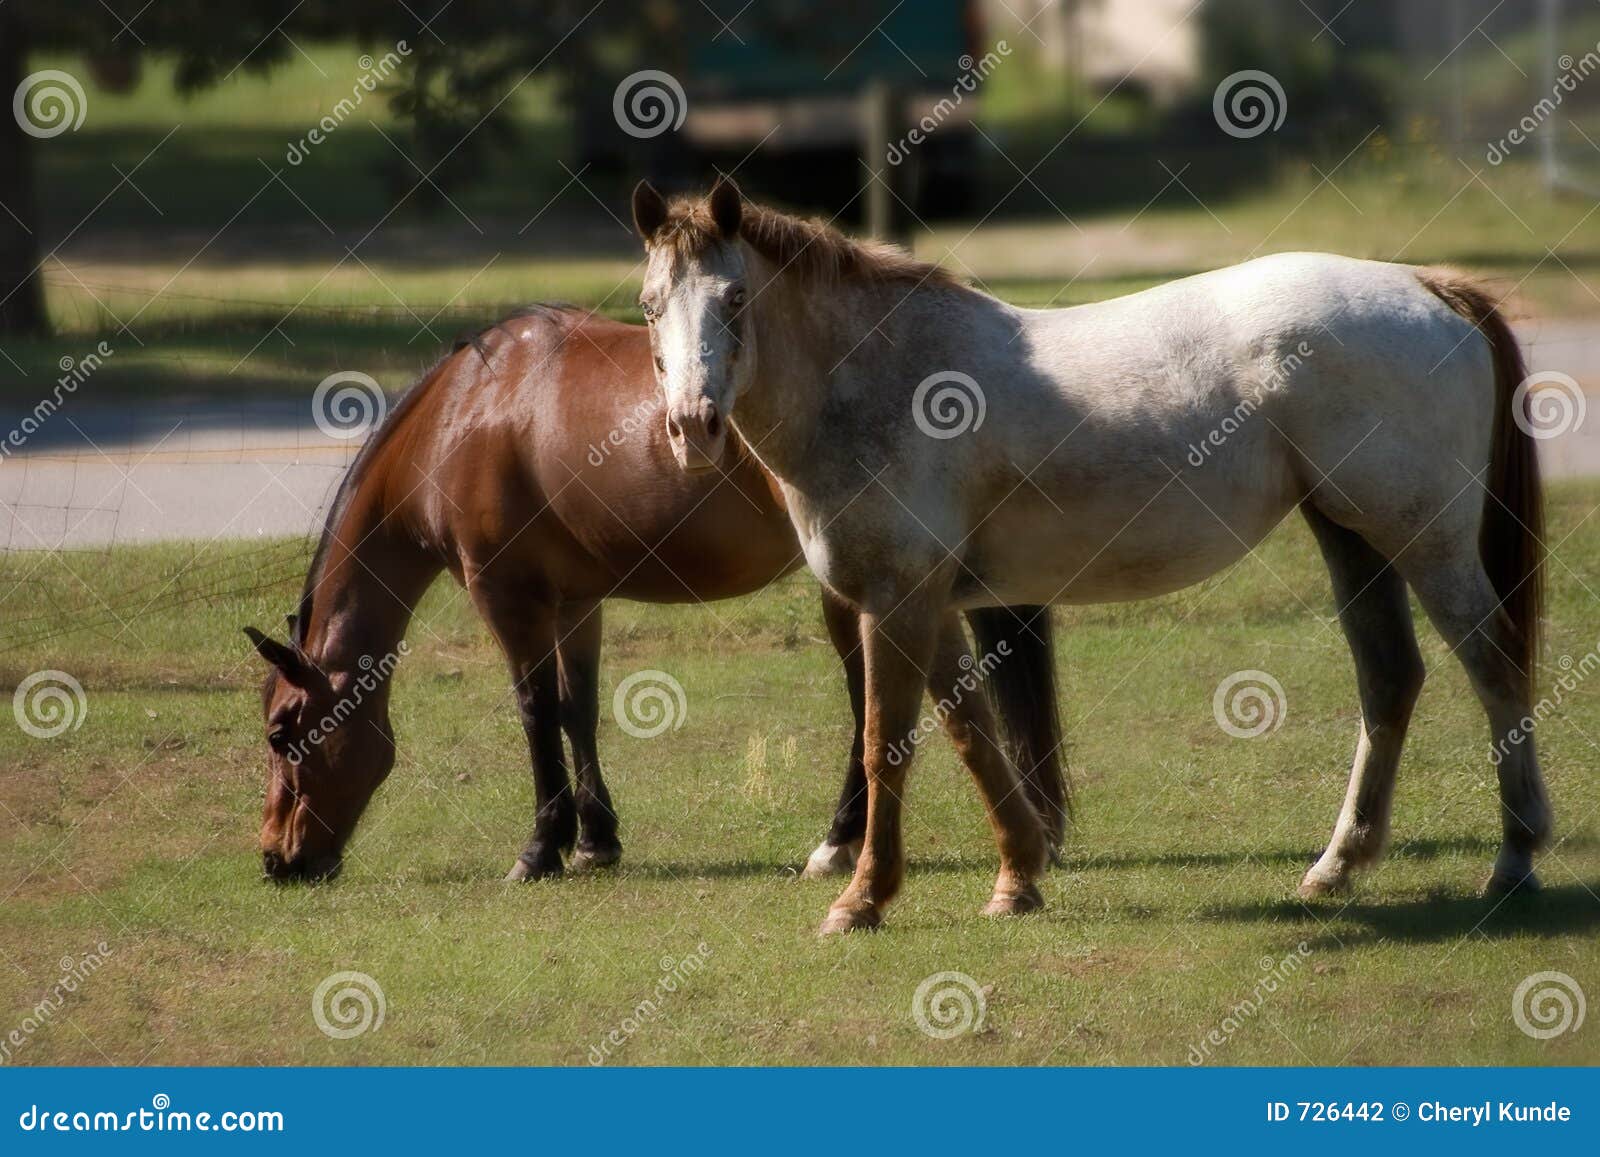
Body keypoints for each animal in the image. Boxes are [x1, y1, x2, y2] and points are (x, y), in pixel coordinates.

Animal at [244, 303, 1066, 887]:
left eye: (283, 733)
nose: (276, 860)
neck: (463, 415)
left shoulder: (506, 596)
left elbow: (535, 711)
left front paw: (540, 848)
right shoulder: (575, 601)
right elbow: (577, 708)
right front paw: (595, 840)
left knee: (871, 695)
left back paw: (839, 843)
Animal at [631, 176, 1549, 935]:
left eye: (736, 296)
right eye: (647, 305)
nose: (693, 427)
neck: (881, 379)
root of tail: (1427, 287)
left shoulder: (895, 601)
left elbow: (887, 741)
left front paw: (862, 898)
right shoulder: (929, 605)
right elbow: (972, 734)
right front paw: (1018, 876)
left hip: (1425, 543)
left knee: (1496, 667)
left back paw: (1514, 860)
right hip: (1351, 540)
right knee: (1390, 679)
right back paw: (1338, 865)